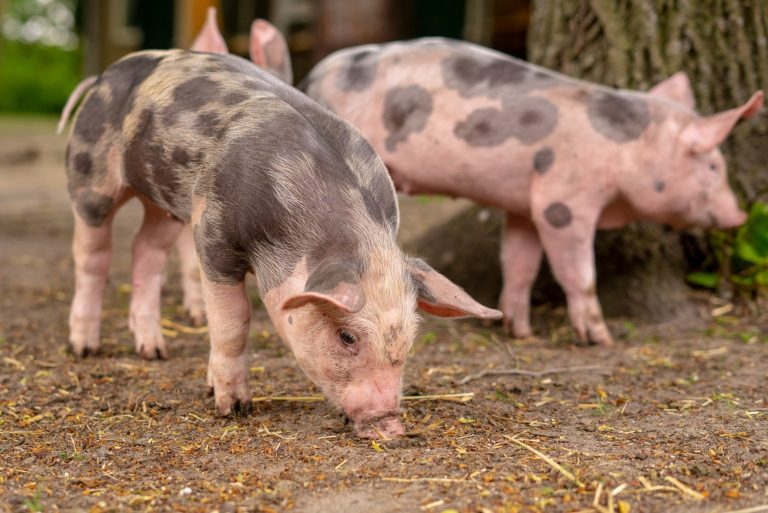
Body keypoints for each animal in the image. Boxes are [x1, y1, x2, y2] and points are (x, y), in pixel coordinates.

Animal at [58, 48, 501, 438]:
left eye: (409, 337)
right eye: (347, 337)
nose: (391, 425)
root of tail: (103, 76)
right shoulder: (212, 234)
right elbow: (232, 322)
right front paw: (233, 407)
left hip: (164, 201)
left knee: (145, 250)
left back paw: (153, 351)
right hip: (90, 178)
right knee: (92, 256)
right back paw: (83, 348)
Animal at [298, 38, 764, 346]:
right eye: (713, 165)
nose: (740, 215)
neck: (627, 148)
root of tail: (314, 76)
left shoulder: (523, 205)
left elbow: (520, 262)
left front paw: (519, 330)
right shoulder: (563, 202)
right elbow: (579, 274)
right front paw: (602, 339)